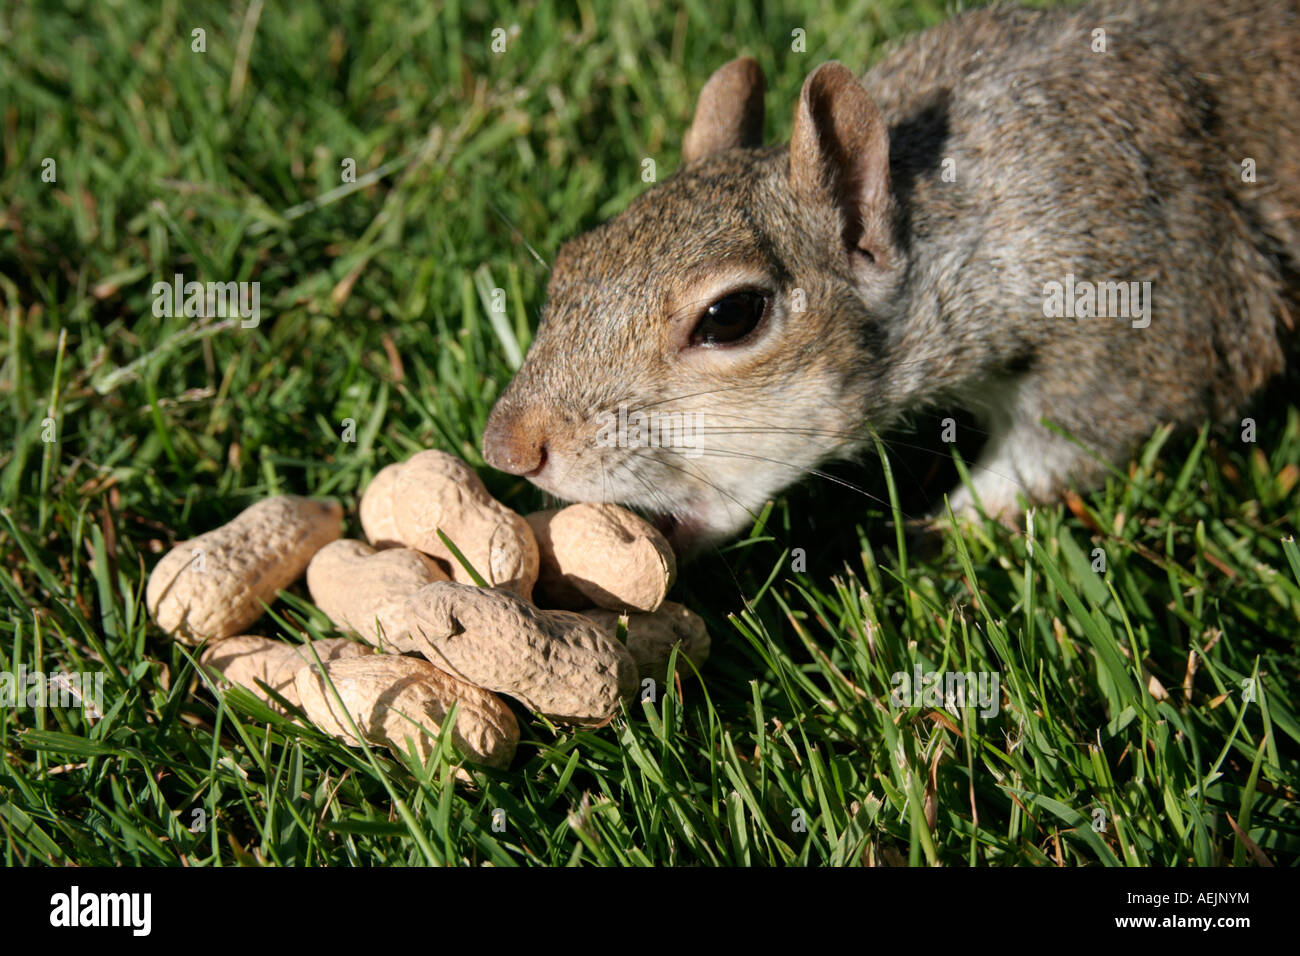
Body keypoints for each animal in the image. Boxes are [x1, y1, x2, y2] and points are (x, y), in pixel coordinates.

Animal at [482, 0, 1299, 555]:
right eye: (572, 260)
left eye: (730, 316)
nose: (508, 449)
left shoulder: (1143, 313)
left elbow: (1076, 438)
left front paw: (948, 525)